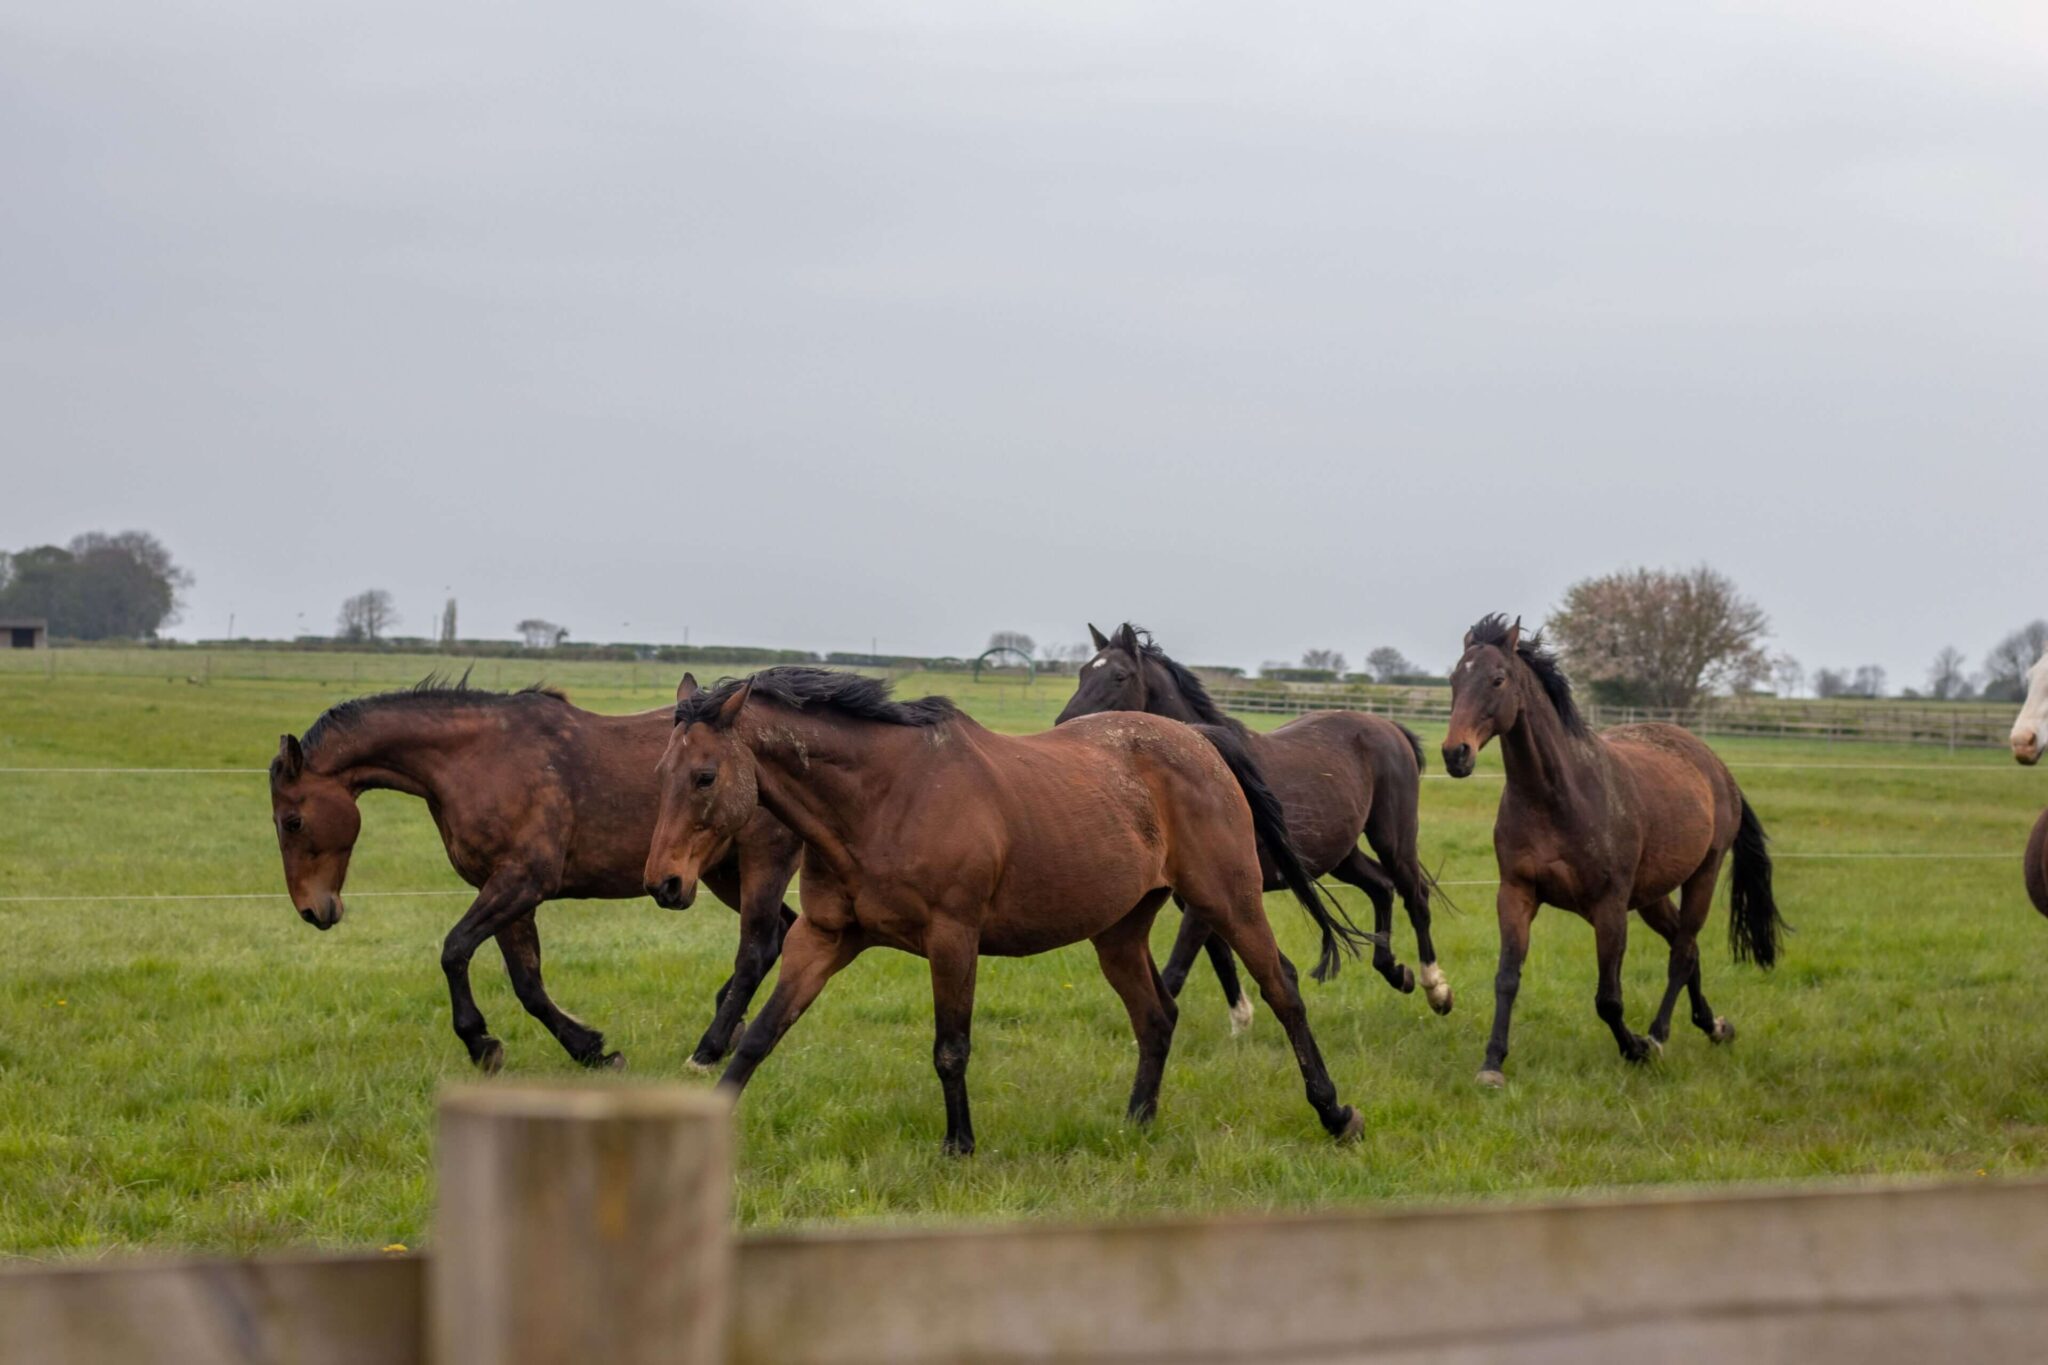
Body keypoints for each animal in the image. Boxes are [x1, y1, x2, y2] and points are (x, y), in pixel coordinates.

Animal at [268, 674, 800, 1072]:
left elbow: (454, 950)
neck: (476, 759)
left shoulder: (522, 882)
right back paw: (733, 1024)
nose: (313, 910)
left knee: (755, 949)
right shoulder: (505, 892)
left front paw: (482, 1043)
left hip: (760, 864)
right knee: (782, 932)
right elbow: (527, 982)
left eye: (292, 821)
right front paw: (590, 1050)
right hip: (718, 873)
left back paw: (710, 1046)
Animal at [643, 666, 1376, 1153]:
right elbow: (760, 1033)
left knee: (1282, 991)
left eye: (704, 776)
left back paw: (1336, 1114)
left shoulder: (952, 938)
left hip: (1229, 899)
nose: (664, 883)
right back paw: (1137, 1120)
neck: (882, 800)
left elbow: (951, 1048)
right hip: (1119, 931)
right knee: (1157, 1016)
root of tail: (1199, 742)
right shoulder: (823, 937)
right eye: (662, 774)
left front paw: (959, 1147)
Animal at [1056, 623, 1451, 1029]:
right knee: (1381, 887)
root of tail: (1391, 727)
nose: (1063, 724)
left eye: (1119, 676)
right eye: (1083, 672)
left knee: (1415, 896)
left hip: (1393, 839)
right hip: (1340, 855)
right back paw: (1396, 972)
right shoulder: (1196, 898)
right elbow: (1220, 955)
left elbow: (1178, 970)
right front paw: (1241, 1018)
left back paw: (1436, 989)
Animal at [1442, 615, 1785, 1086]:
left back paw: (1658, 1036)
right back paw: (1715, 1026)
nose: (1455, 754)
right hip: (1653, 896)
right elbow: (1507, 977)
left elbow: (1608, 999)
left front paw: (1635, 1047)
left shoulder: (1609, 908)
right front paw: (1492, 1064)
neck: (1557, 797)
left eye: (1498, 679)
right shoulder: (1516, 894)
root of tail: (1717, 766)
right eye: (1454, 680)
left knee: (1682, 954)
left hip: (1704, 875)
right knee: (1688, 948)